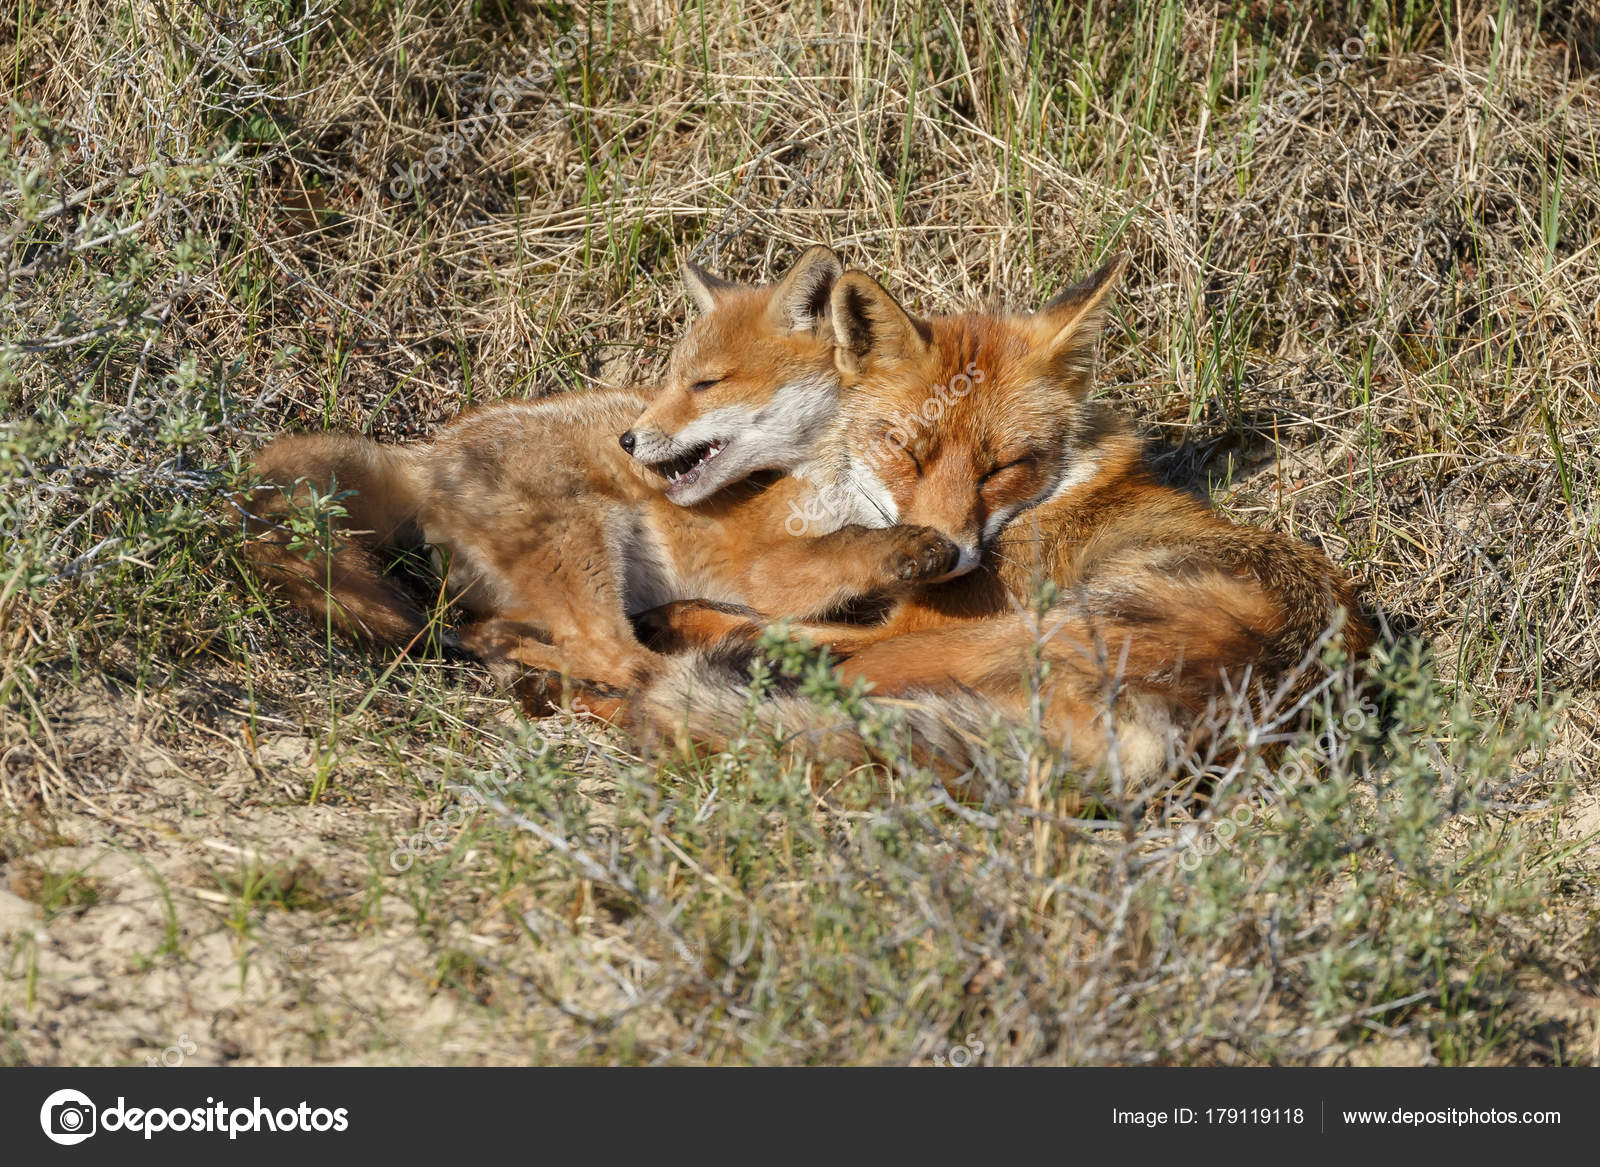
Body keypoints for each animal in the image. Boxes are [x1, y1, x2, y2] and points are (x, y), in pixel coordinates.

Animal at [240, 245, 964, 704]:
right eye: (671, 380)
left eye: (703, 384)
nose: (630, 439)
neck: (832, 477)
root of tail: (427, 454)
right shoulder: (758, 568)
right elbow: (844, 549)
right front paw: (904, 549)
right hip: (585, 545)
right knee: (616, 659)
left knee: (502, 635)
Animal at [622, 255, 1373, 788]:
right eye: (908, 453)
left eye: (1000, 468)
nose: (947, 552)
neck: (1056, 494)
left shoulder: (909, 624)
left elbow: (769, 619)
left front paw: (682, 620)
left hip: (973, 641)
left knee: (835, 666)